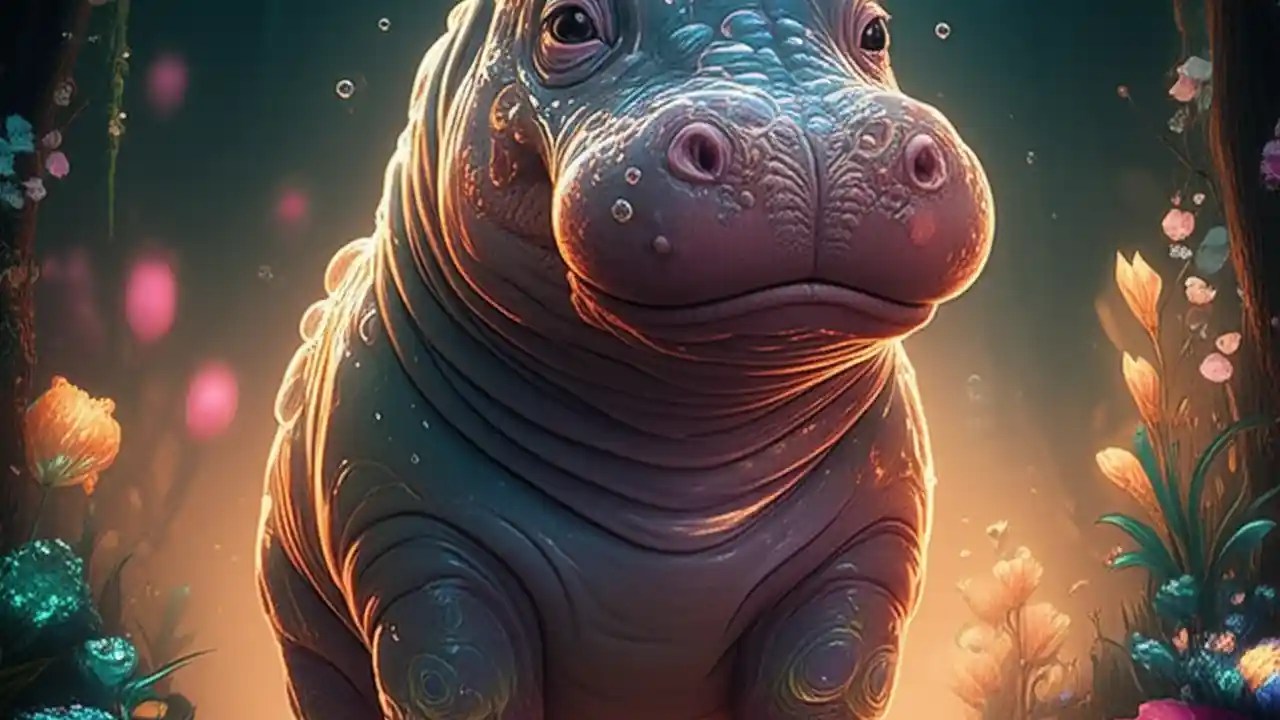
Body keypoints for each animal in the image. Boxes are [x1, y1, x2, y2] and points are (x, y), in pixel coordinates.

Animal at [254, 1, 994, 719]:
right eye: (568, 24)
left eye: (876, 33)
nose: (802, 137)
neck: (683, 480)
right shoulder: (413, 543)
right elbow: (457, 681)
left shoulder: (868, 554)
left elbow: (826, 675)